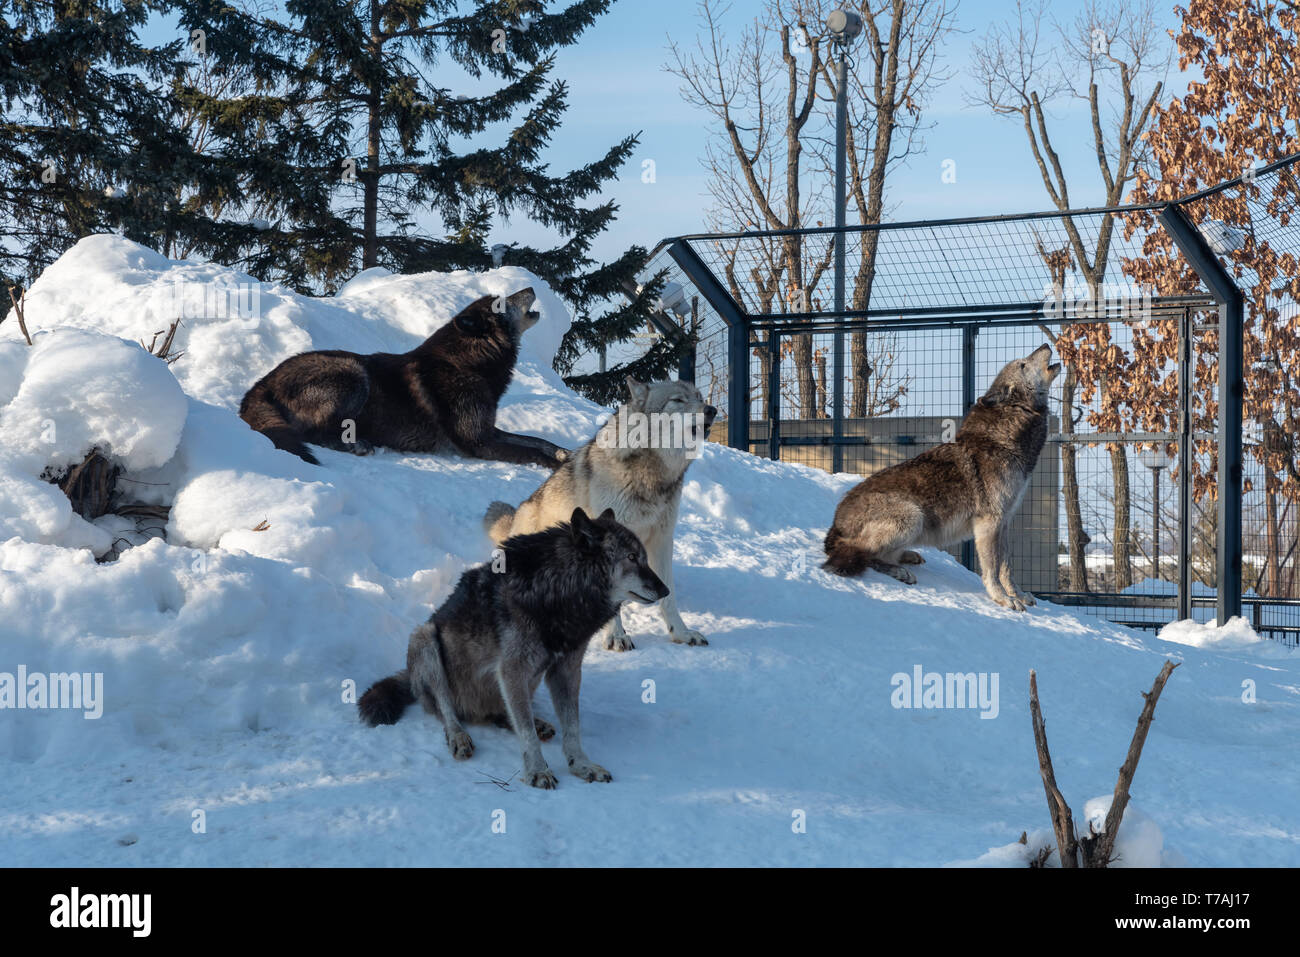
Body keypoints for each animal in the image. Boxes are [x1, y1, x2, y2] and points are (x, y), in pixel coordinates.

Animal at [239, 287, 567, 468]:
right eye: (501, 303)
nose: (530, 286)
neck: (467, 364)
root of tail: (260, 385)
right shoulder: (478, 441)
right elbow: (532, 453)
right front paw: (558, 468)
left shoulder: (489, 430)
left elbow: (537, 441)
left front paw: (564, 452)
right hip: (354, 374)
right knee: (312, 435)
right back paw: (356, 445)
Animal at [358, 508, 668, 789]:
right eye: (632, 558)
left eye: (644, 557)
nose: (665, 590)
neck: (558, 593)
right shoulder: (512, 670)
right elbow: (527, 733)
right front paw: (538, 771)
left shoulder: (565, 670)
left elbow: (571, 728)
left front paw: (581, 765)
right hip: (425, 638)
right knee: (448, 712)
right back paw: (459, 737)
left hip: (528, 678)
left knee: (506, 714)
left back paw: (534, 723)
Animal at [483, 377, 716, 651]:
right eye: (678, 400)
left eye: (700, 397)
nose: (712, 410)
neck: (651, 475)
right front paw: (616, 636)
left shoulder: (663, 538)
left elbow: (669, 597)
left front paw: (681, 633)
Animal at [822, 344, 1061, 611]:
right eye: (1022, 364)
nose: (1045, 345)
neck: (1004, 441)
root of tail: (834, 524)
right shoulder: (989, 522)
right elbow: (992, 569)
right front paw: (1003, 599)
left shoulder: (1005, 521)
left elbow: (1006, 567)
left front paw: (1017, 594)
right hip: (912, 516)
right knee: (860, 555)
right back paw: (899, 571)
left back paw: (908, 556)